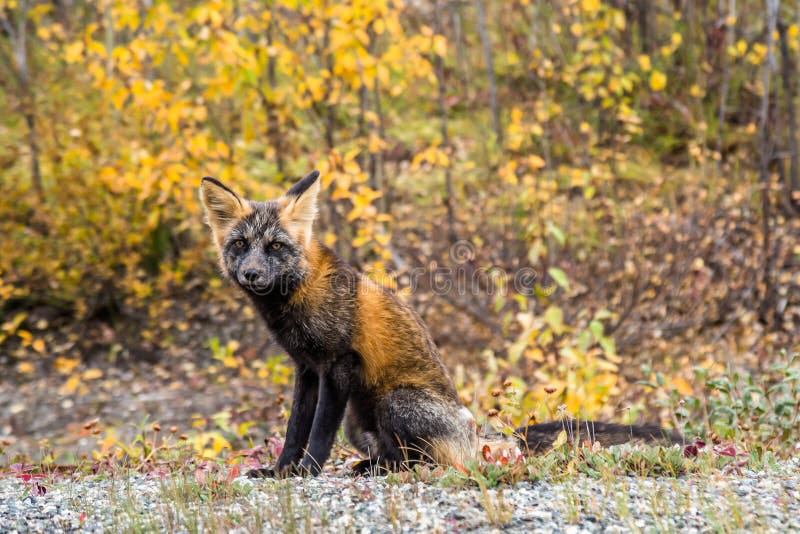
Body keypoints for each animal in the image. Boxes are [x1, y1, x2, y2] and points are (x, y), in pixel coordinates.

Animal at [199, 171, 682, 477]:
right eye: (240, 245)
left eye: (275, 246)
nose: (251, 274)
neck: (300, 299)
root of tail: (478, 435)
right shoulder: (307, 370)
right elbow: (294, 430)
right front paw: (281, 471)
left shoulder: (338, 365)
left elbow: (316, 435)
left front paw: (307, 473)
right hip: (359, 421)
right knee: (402, 459)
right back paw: (371, 467)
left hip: (394, 402)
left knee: (430, 463)